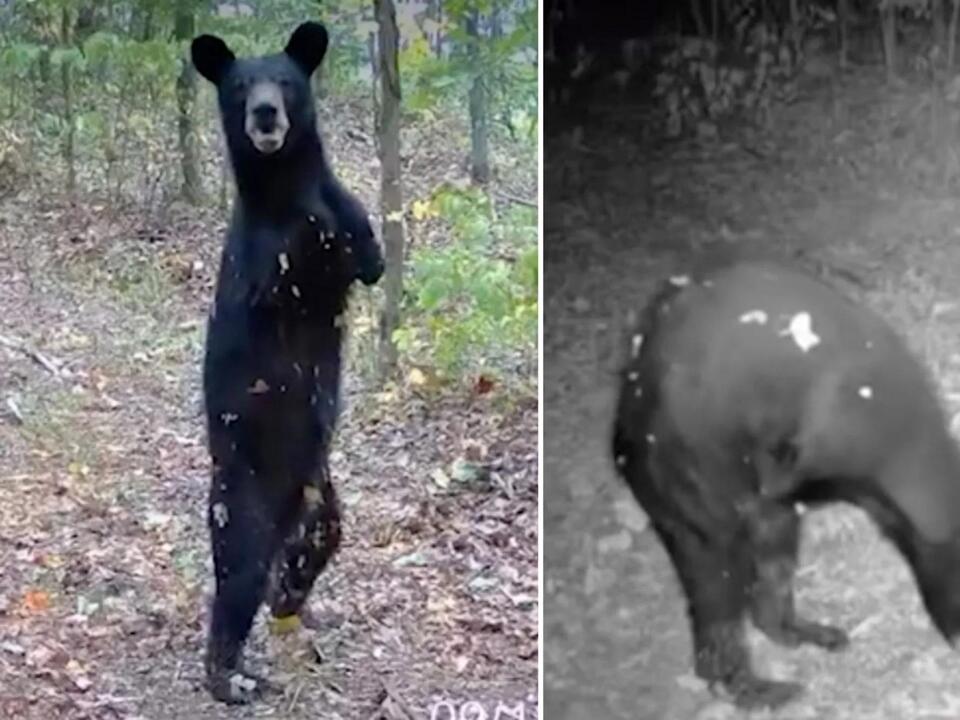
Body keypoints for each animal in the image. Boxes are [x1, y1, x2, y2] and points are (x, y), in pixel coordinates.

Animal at [191, 22, 384, 704]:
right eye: (240, 86)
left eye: (287, 81)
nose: (266, 114)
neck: (284, 184)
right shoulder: (261, 258)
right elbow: (286, 267)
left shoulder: (350, 218)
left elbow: (366, 251)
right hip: (243, 497)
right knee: (238, 578)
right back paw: (231, 677)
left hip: (321, 498)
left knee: (310, 550)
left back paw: (291, 604)